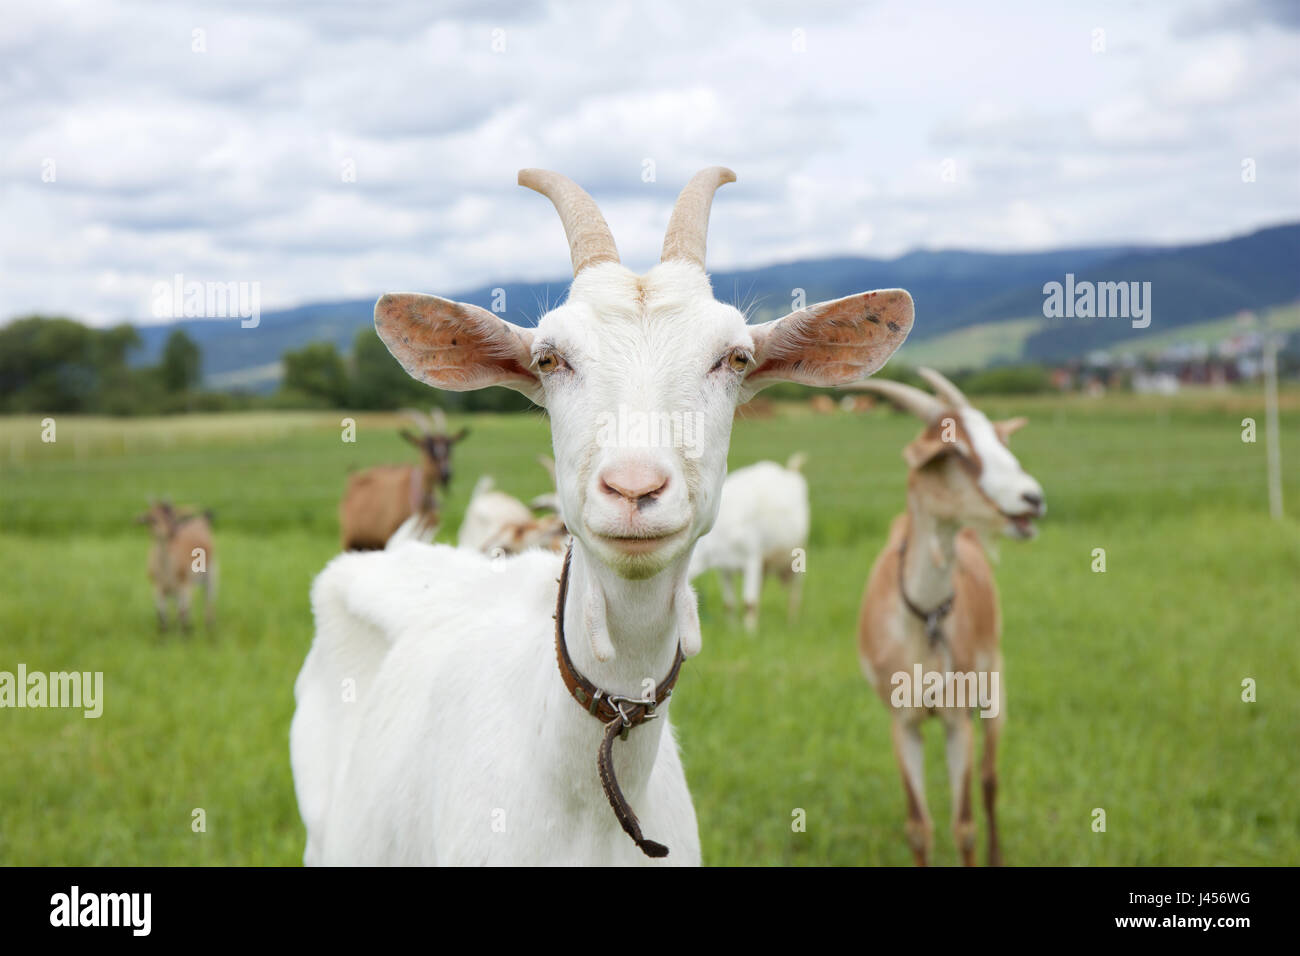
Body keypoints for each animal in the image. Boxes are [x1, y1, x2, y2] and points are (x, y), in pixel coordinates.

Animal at [135, 500, 217, 633]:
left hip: (211, 574)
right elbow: (161, 614)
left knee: (208, 600)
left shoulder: (185, 585)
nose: (171, 532)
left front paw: (186, 633)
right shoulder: (157, 587)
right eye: (151, 519)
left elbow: (184, 612)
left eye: (172, 516)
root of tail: (201, 520)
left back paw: (209, 628)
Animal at [338, 408, 467, 550]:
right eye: (426, 449)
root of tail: (354, 477)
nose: (446, 474)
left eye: (450, 449)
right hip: (350, 539)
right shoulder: (390, 535)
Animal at [687, 453, 809, 631]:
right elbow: (729, 603)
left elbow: (749, 603)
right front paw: (732, 628)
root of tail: (791, 473)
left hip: (796, 555)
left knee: (795, 591)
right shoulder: (724, 567)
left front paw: (749, 632)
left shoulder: (752, 559)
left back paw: (792, 622)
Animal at [851, 369, 1045, 866]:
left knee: (991, 781)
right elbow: (919, 827)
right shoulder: (902, 722)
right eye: (954, 450)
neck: (924, 619)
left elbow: (965, 826)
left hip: (994, 685)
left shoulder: (960, 720)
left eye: (999, 439)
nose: (1032, 498)